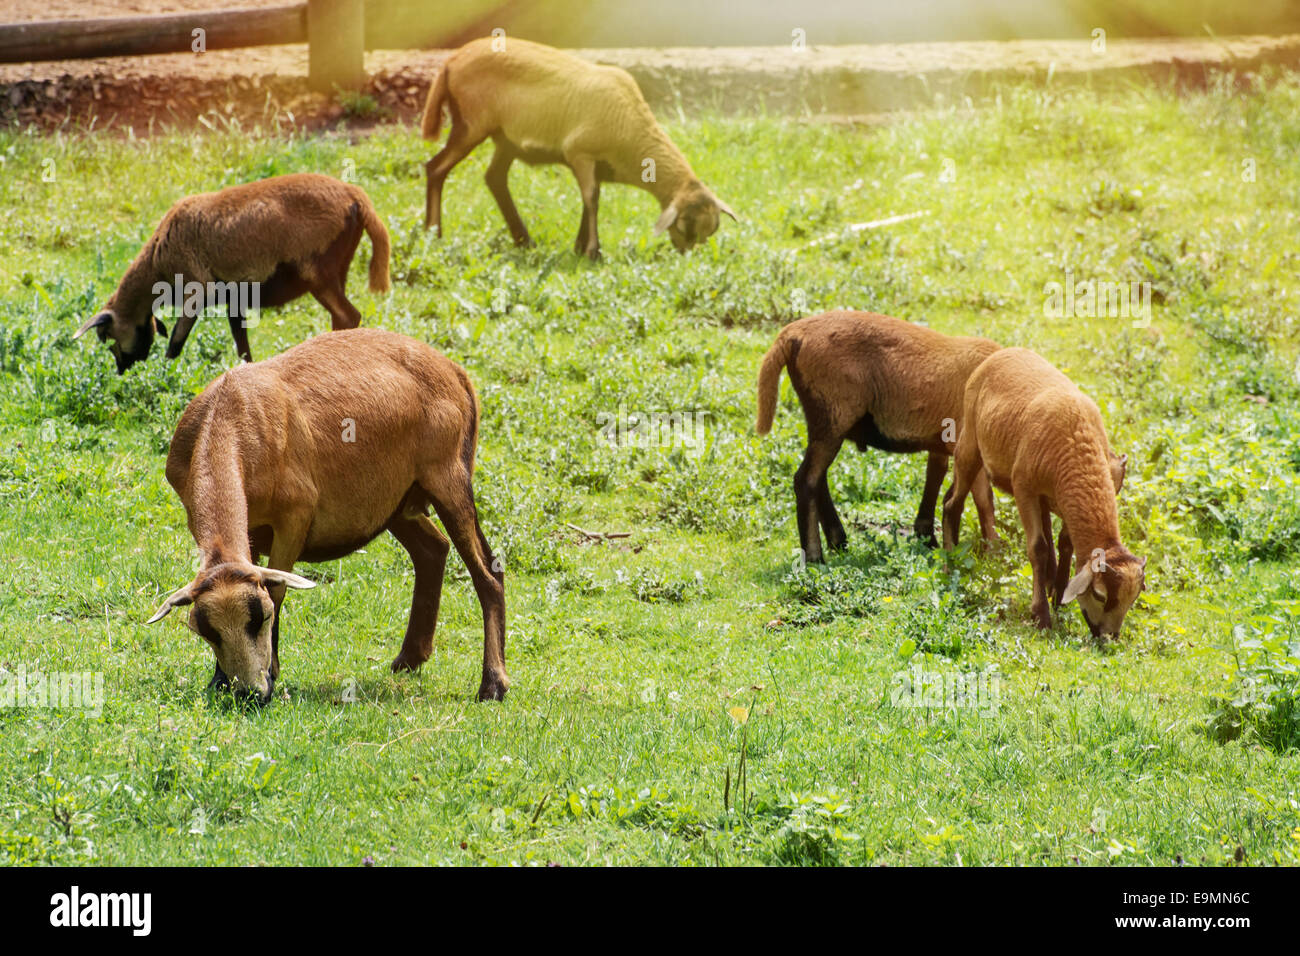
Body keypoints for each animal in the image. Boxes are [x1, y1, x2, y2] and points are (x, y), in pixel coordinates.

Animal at [73, 173, 391, 373]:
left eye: (108, 336)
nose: (121, 370)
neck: (157, 261)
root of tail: (356, 197)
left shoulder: (197, 289)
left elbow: (176, 341)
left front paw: (166, 373)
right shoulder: (234, 296)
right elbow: (241, 341)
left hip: (318, 270)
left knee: (348, 315)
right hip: (339, 268)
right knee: (342, 317)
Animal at [144, 328, 508, 704]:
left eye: (261, 618)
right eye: (205, 630)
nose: (251, 693)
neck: (230, 415)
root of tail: (454, 371)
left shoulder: (295, 516)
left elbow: (278, 589)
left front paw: (273, 673)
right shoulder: (246, 530)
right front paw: (219, 679)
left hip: (448, 478)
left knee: (488, 571)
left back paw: (493, 684)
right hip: (396, 500)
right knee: (432, 549)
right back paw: (409, 659)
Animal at [420, 36, 736, 259]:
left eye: (711, 231)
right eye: (684, 226)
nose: (686, 255)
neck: (633, 132)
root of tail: (451, 62)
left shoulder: (596, 164)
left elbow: (591, 199)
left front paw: (580, 246)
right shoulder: (580, 153)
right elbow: (592, 199)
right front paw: (592, 252)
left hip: (505, 139)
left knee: (494, 178)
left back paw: (524, 240)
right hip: (471, 124)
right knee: (435, 168)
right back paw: (433, 234)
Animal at [755, 310, 1002, 562]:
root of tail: (792, 334)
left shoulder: (944, 442)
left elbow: (936, 476)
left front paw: (927, 537)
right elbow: (984, 500)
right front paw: (993, 554)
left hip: (822, 419)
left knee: (817, 478)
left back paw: (837, 541)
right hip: (833, 415)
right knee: (805, 479)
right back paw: (816, 557)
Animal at [941, 347, 1145, 638]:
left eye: (1134, 598)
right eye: (1100, 595)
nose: (1108, 638)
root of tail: (1004, 352)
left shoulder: (1068, 501)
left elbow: (1066, 545)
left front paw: (1058, 598)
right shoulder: (1024, 489)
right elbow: (1037, 548)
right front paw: (1041, 615)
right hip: (969, 443)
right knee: (953, 504)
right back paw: (950, 562)